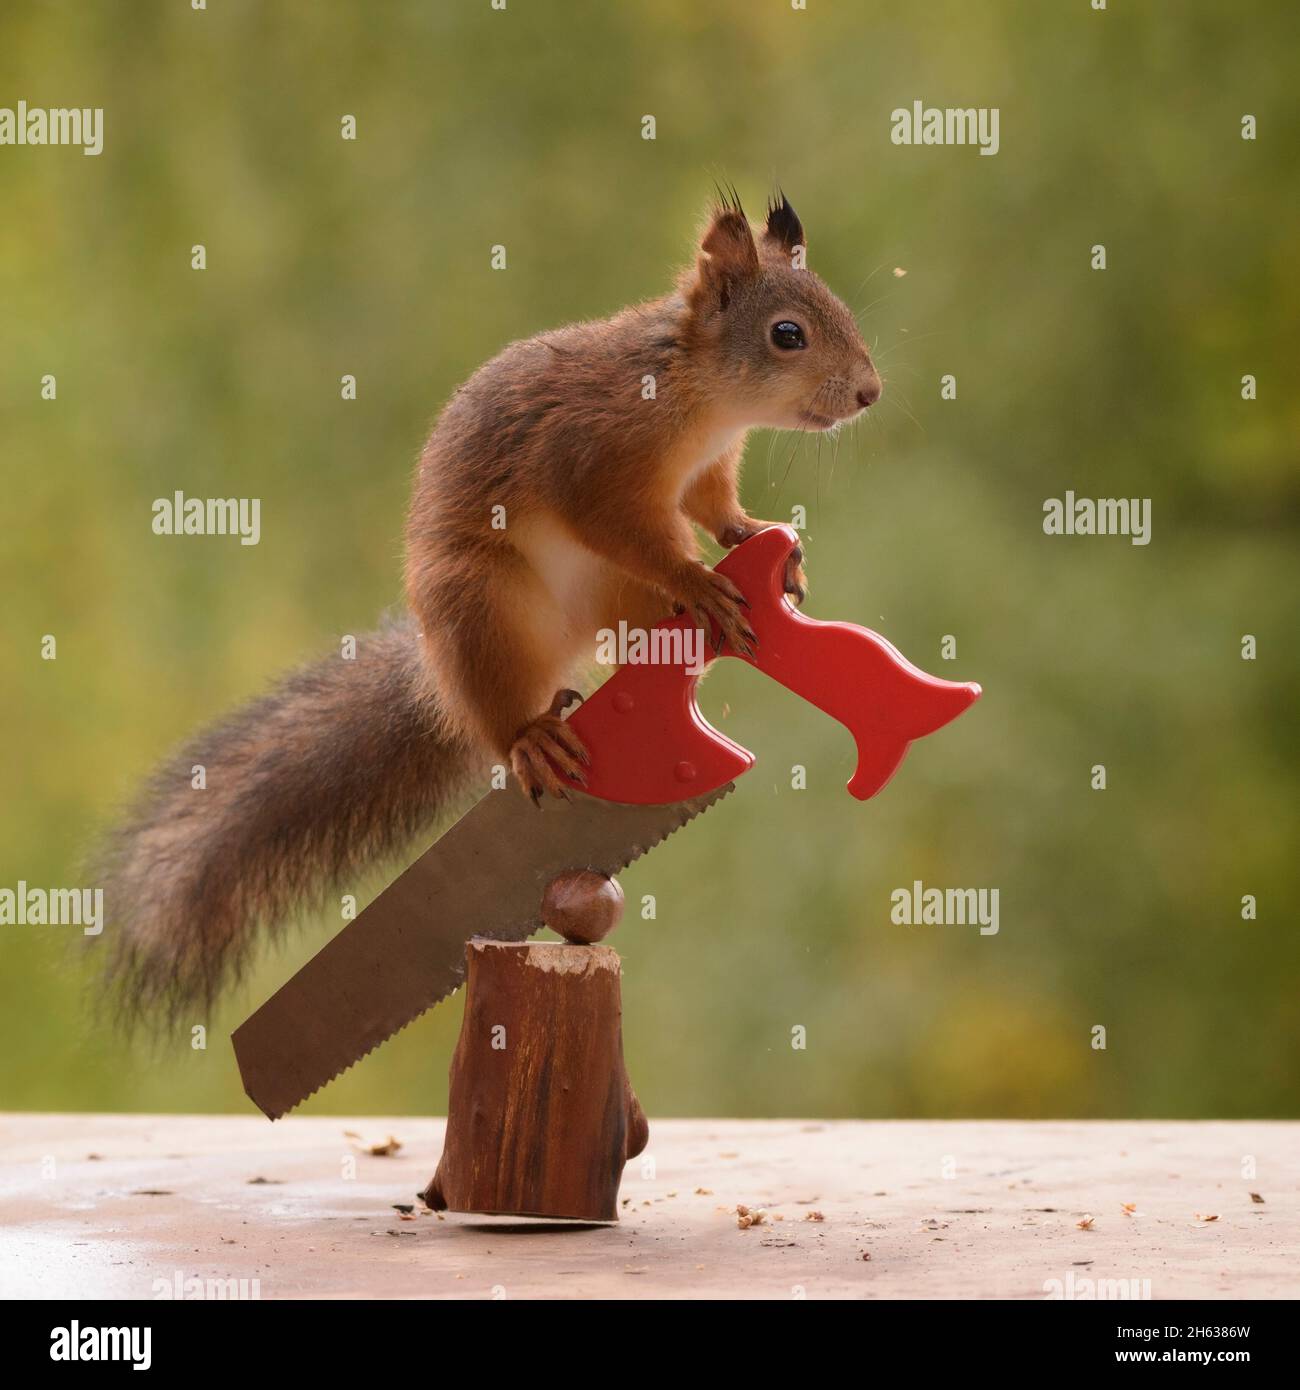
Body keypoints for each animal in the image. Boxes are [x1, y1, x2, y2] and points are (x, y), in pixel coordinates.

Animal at [97, 191, 882, 1024]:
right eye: (787, 334)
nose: (870, 391)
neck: (696, 391)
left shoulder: (704, 471)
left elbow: (715, 507)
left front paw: (761, 540)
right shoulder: (591, 461)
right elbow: (627, 527)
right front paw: (698, 577)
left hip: (613, 602)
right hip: (483, 607)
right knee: (498, 718)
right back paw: (534, 737)